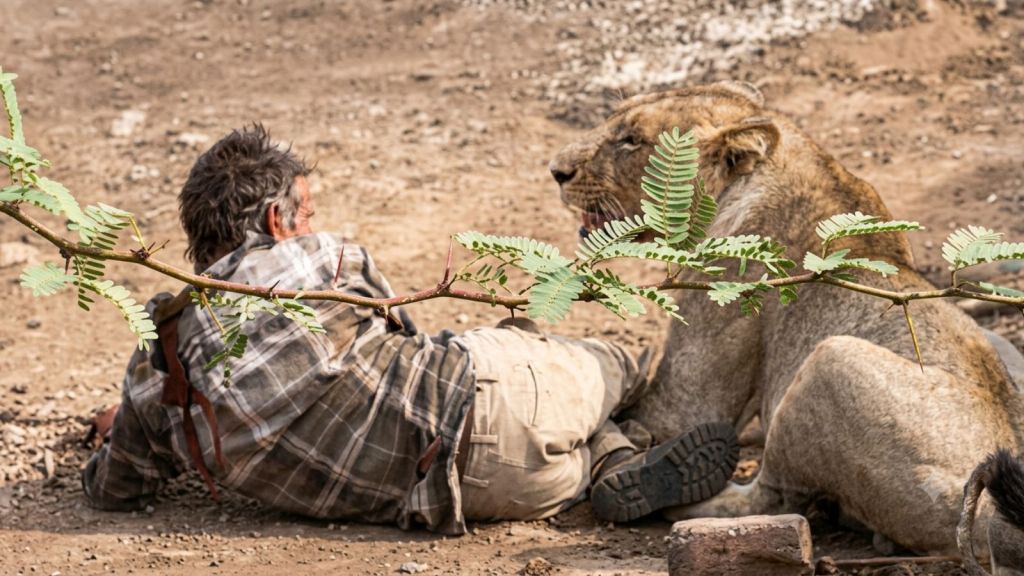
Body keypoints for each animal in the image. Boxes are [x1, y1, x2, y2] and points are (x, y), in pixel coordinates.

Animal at [549, 82, 1024, 555]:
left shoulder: (693, 377)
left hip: (830, 360)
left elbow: (662, 413)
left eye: (632, 140)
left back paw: (657, 487)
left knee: (770, 498)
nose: (556, 171)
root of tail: (986, 516)